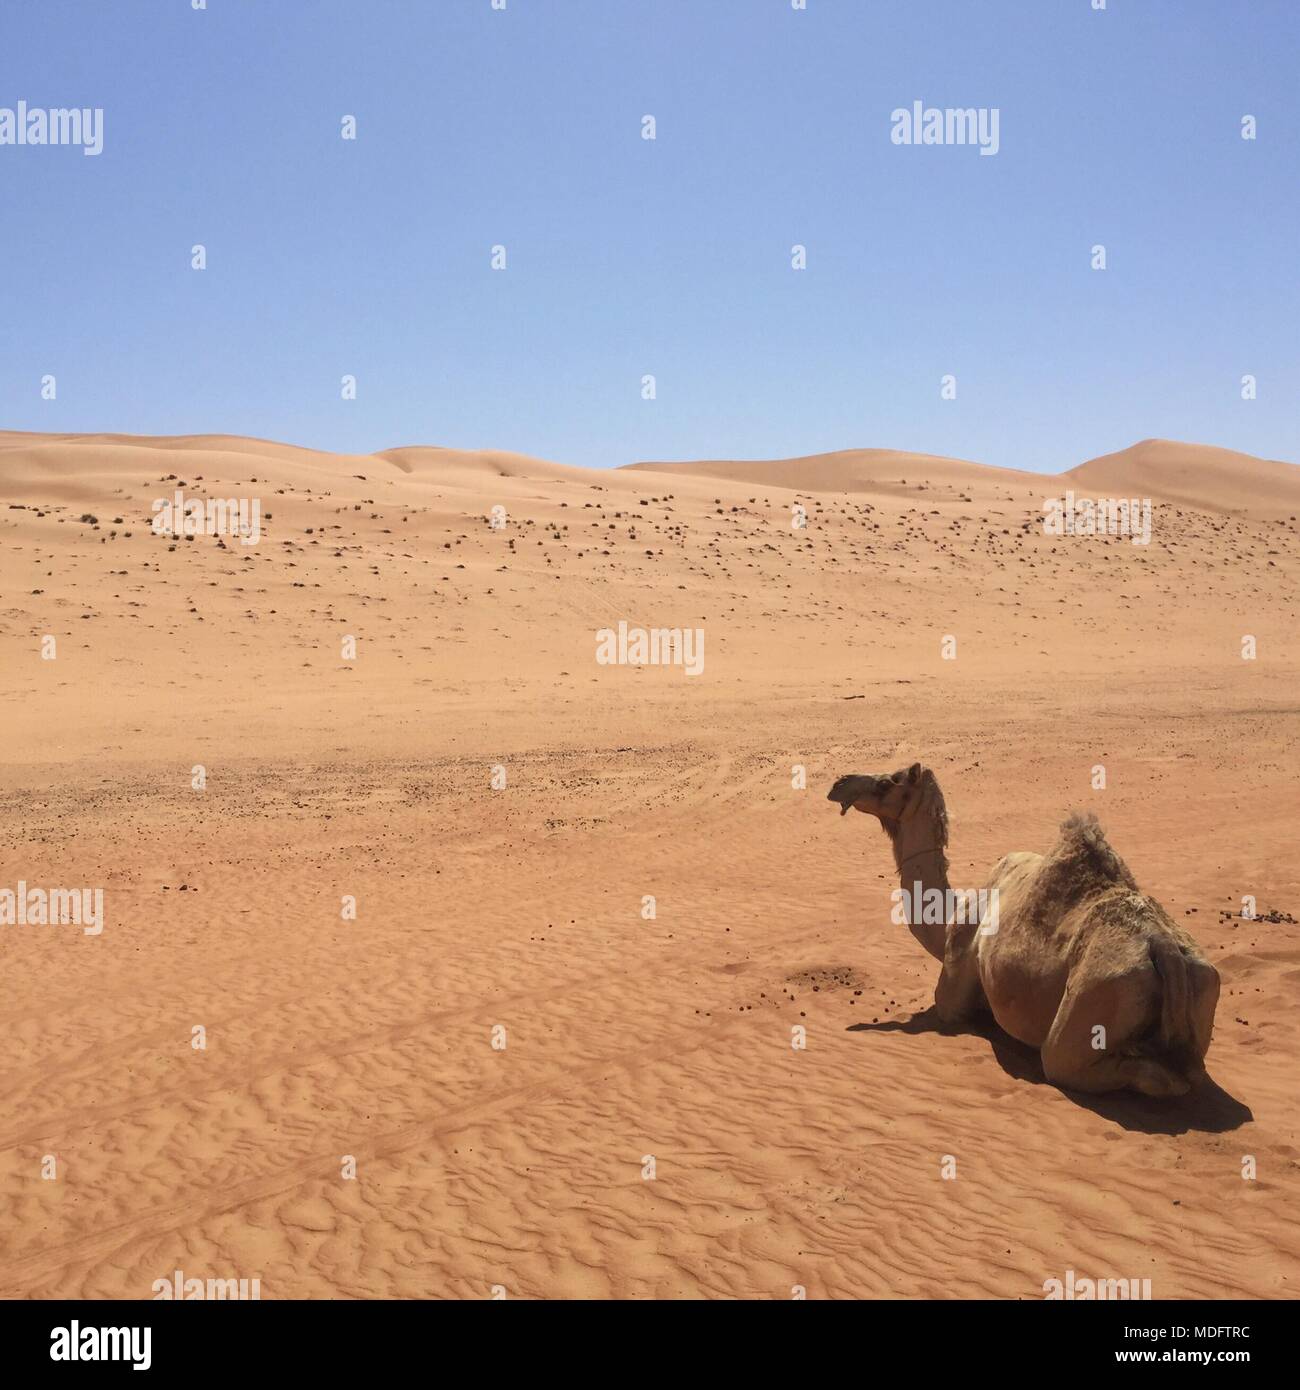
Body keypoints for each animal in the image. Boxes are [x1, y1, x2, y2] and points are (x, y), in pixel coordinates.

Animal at [827, 764, 1220, 1097]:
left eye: (888, 782)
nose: (839, 783)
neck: (951, 914)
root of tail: (1164, 948)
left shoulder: (953, 987)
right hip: (1202, 984)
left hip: (1100, 994)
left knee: (1083, 1065)